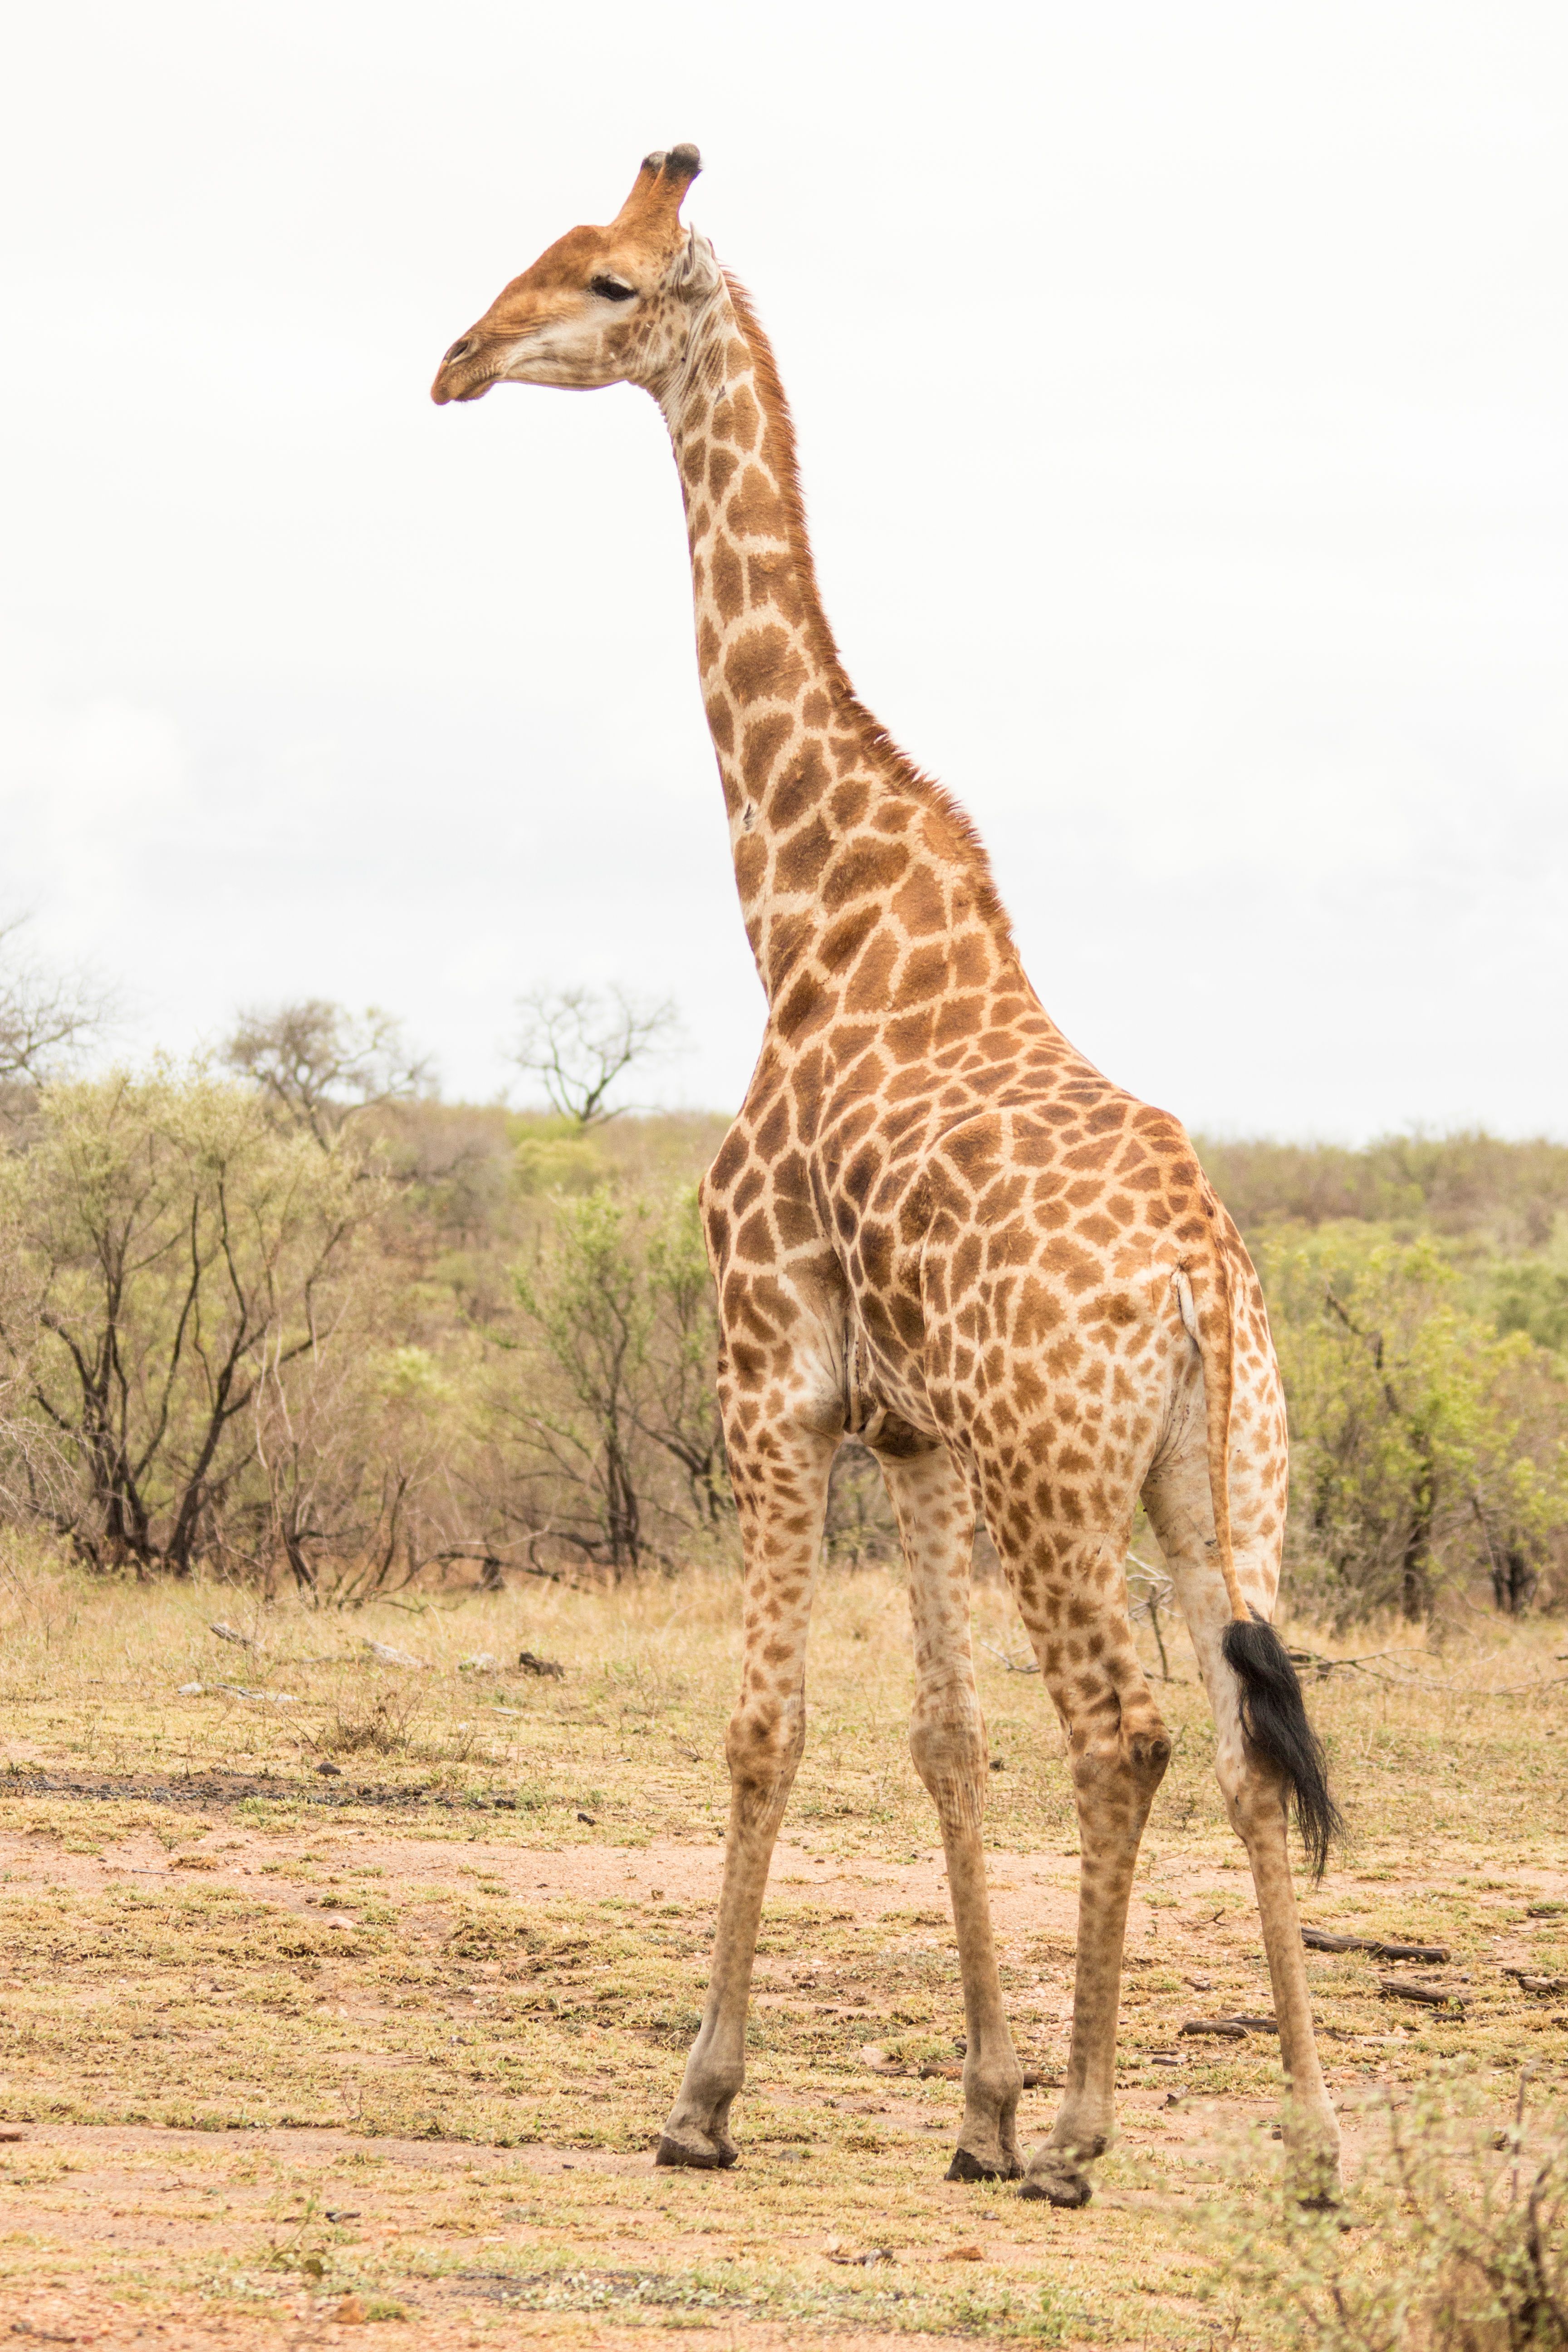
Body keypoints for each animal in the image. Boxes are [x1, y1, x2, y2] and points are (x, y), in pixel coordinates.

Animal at [433, 145, 1344, 2208]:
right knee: (1248, 1733)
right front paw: (976, 2106)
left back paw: (1093, 2133)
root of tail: (1199, 1279)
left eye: (604, 284)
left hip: (1055, 1477)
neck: (809, 919)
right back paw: (1313, 2139)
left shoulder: (768, 1376)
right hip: (1216, 1481)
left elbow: (763, 1726)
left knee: (1127, 1732)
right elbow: (939, 1739)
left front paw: (706, 2099)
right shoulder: (914, 1432)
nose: (455, 358)